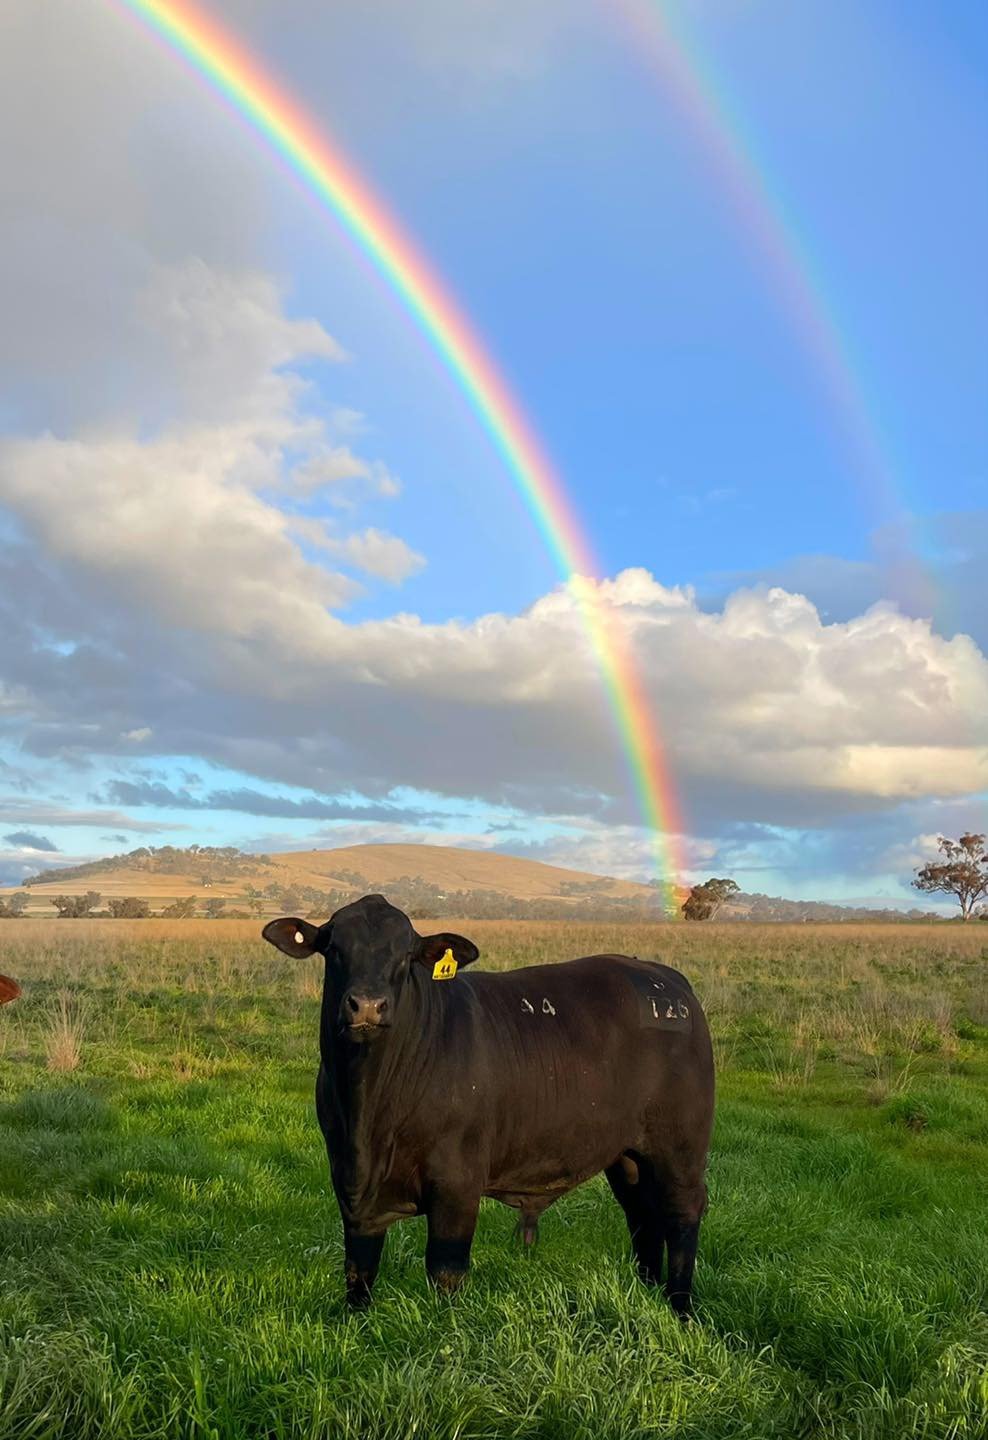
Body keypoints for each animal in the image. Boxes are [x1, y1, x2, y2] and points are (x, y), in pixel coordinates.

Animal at [262, 894, 714, 1315]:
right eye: (334, 947)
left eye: (406, 954)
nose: (368, 1005)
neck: (369, 1108)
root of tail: (665, 979)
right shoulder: (348, 1183)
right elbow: (359, 1270)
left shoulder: (457, 1183)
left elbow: (446, 1270)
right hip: (627, 1155)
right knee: (642, 1215)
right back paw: (649, 1290)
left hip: (681, 1147)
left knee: (682, 1212)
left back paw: (680, 1306)